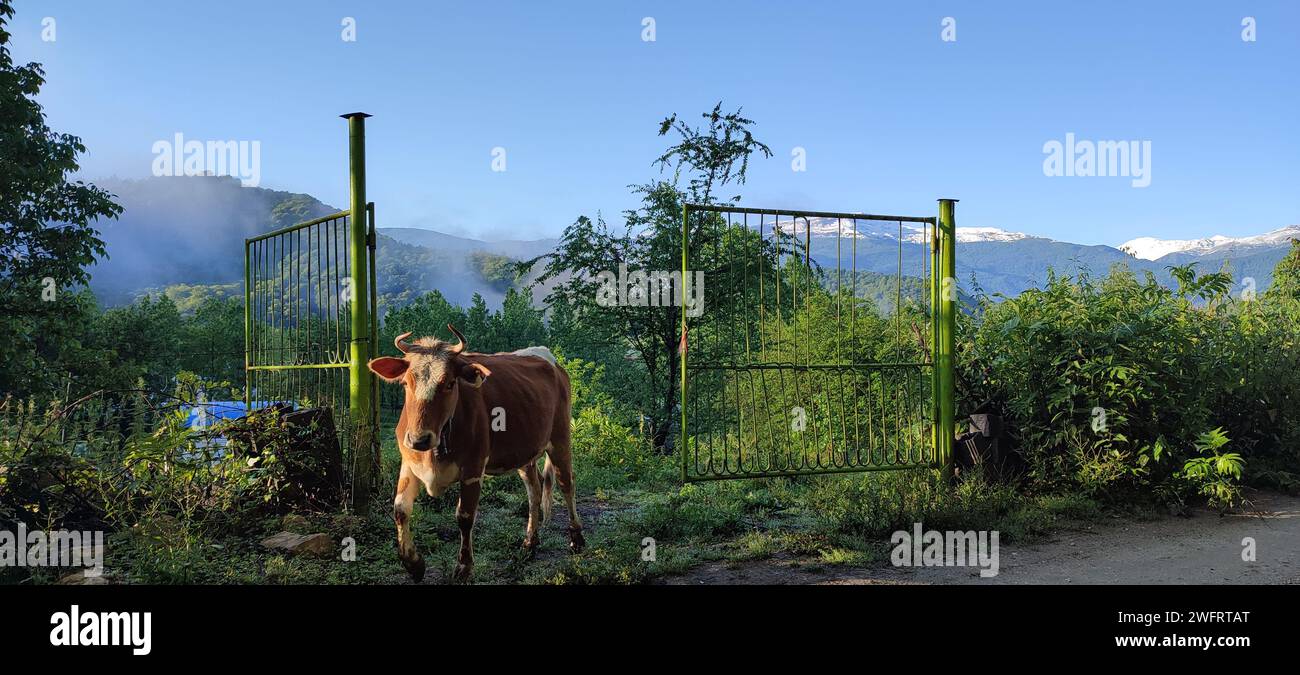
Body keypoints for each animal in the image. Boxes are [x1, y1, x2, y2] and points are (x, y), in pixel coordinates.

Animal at [367, 324, 584, 583]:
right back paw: (530, 543)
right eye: (405, 383)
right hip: (524, 450)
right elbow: (400, 509)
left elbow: (465, 516)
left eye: (450, 383)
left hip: (560, 438)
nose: (419, 439)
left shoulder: (472, 469)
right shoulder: (409, 464)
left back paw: (576, 539)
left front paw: (464, 568)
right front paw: (414, 564)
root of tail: (546, 357)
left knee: (566, 483)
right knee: (535, 488)